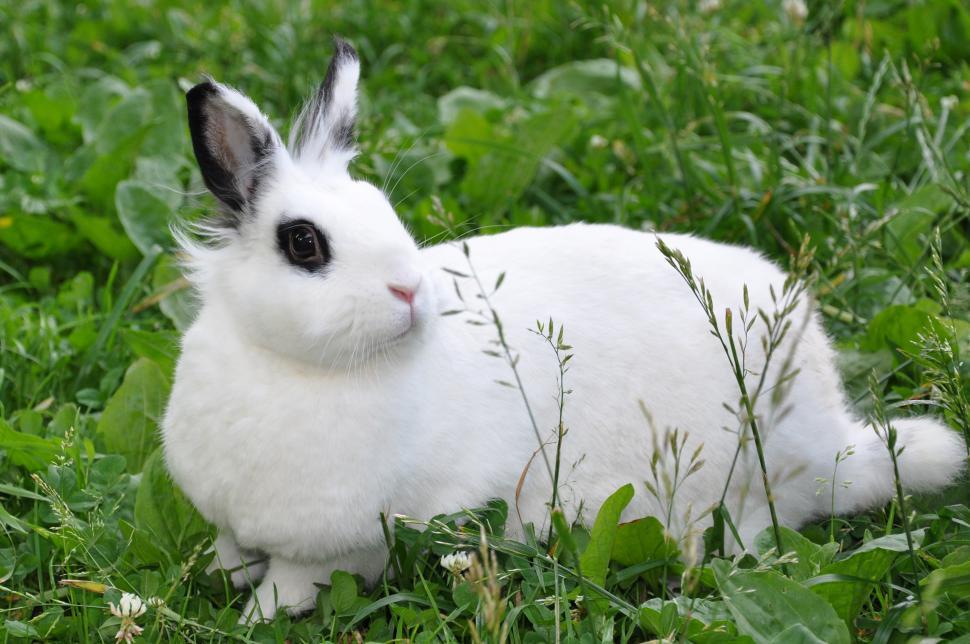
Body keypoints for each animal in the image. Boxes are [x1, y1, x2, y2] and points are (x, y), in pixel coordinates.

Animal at [163, 38, 966, 622]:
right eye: (303, 243)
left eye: (385, 214)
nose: (411, 290)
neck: (291, 365)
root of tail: (832, 444)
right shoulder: (235, 522)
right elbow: (232, 555)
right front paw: (217, 578)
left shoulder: (335, 550)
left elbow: (294, 586)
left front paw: (255, 617)